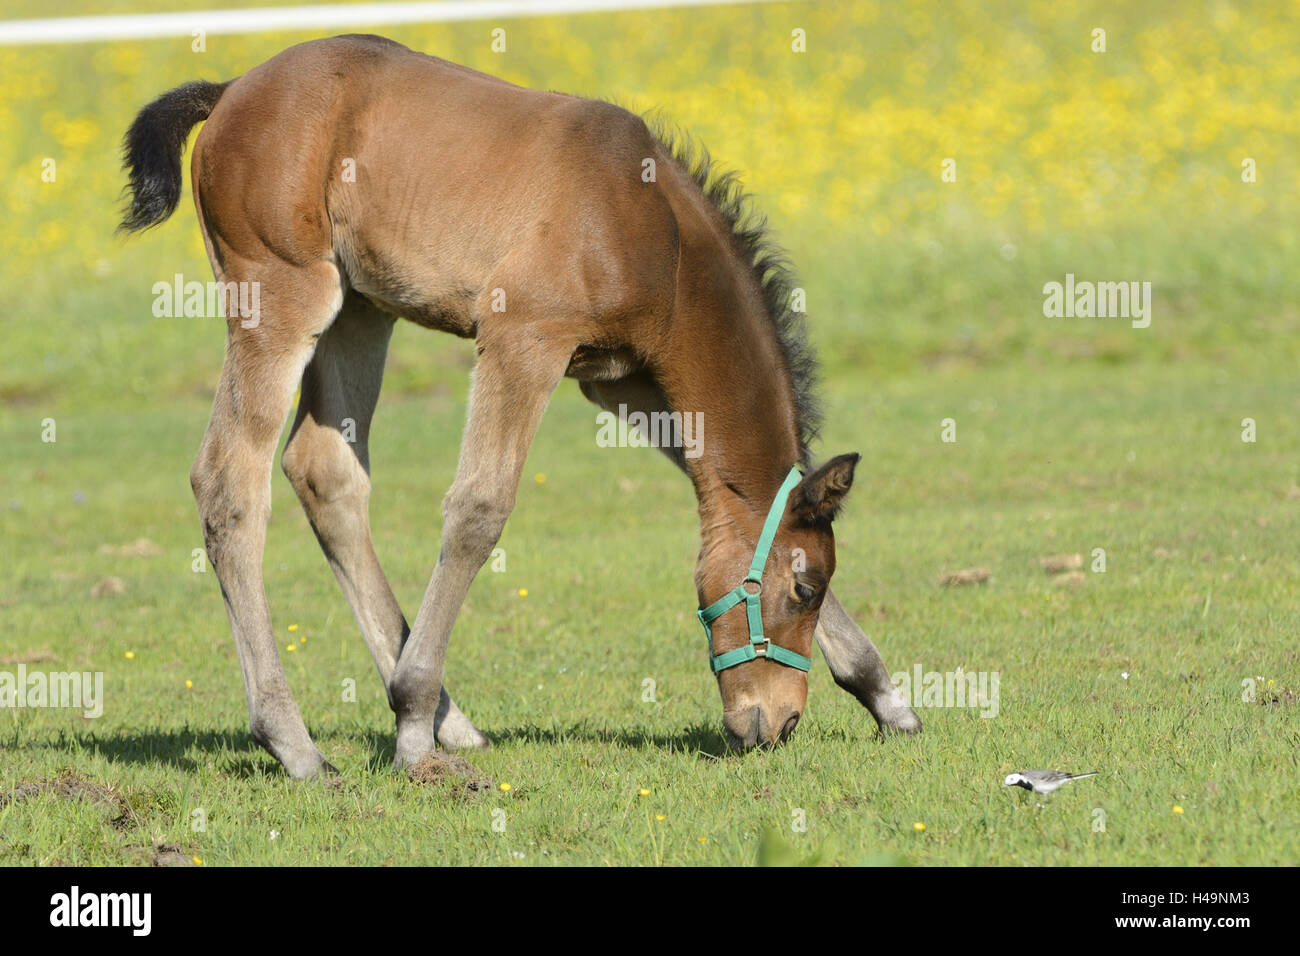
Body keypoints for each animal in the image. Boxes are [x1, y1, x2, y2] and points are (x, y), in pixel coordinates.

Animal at [119, 34, 920, 779]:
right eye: (803, 587)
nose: (777, 722)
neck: (653, 227)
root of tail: (230, 90)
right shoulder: (523, 339)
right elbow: (480, 509)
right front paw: (410, 728)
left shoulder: (623, 379)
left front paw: (887, 696)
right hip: (282, 291)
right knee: (228, 481)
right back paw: (298, 744)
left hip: (361, 309)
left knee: (324, 471)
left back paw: (452, 723)